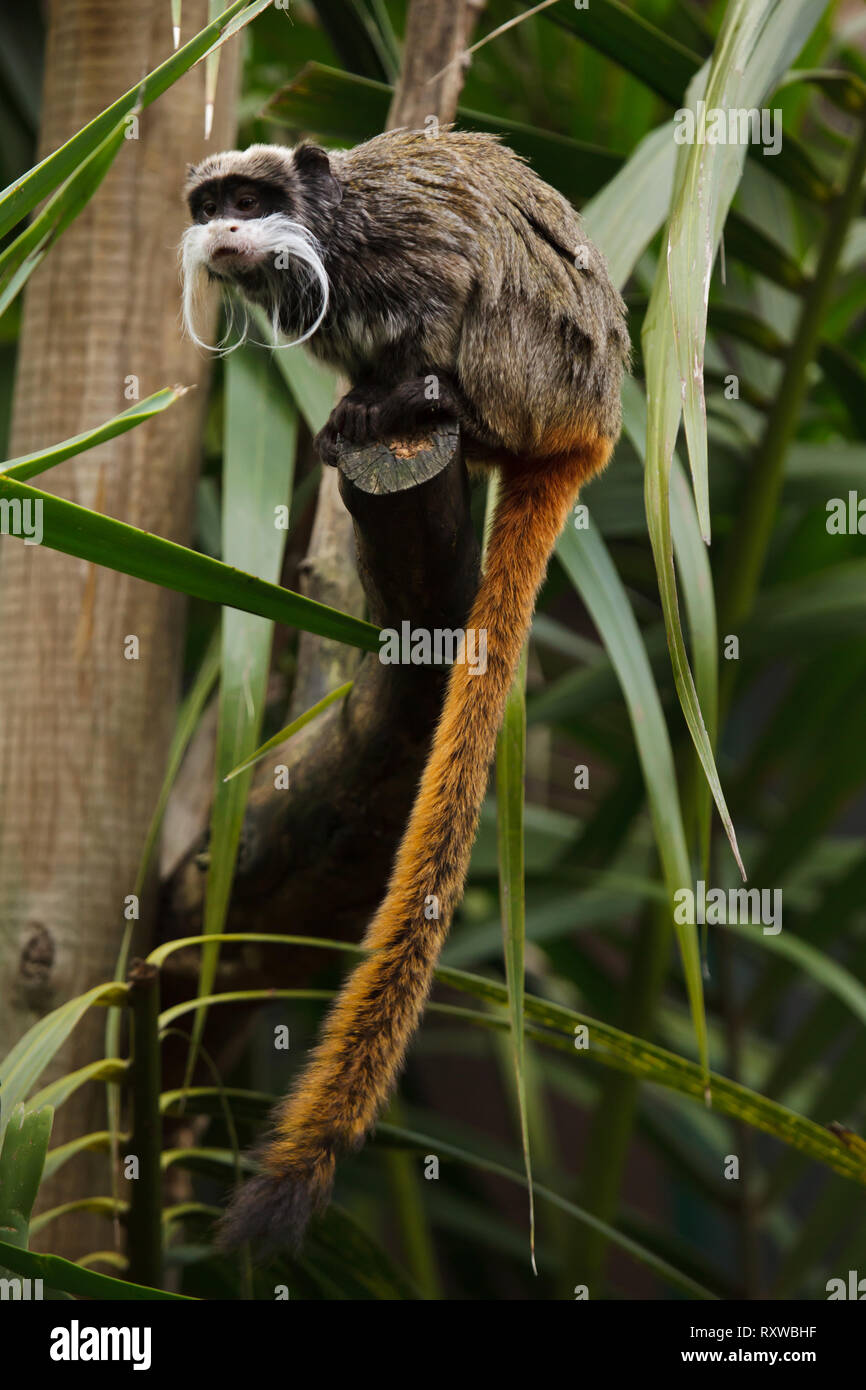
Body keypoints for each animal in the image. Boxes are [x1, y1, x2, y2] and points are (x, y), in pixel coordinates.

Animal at [181, 128, 630, 1253]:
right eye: (213, 206)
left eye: (253, 200)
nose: (228, 231)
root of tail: (594, 419)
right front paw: (354, 407)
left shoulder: (401, 250)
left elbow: (456, 276)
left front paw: (398, 394)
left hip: (535, 369)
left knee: (491, 307)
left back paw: (431, 407)